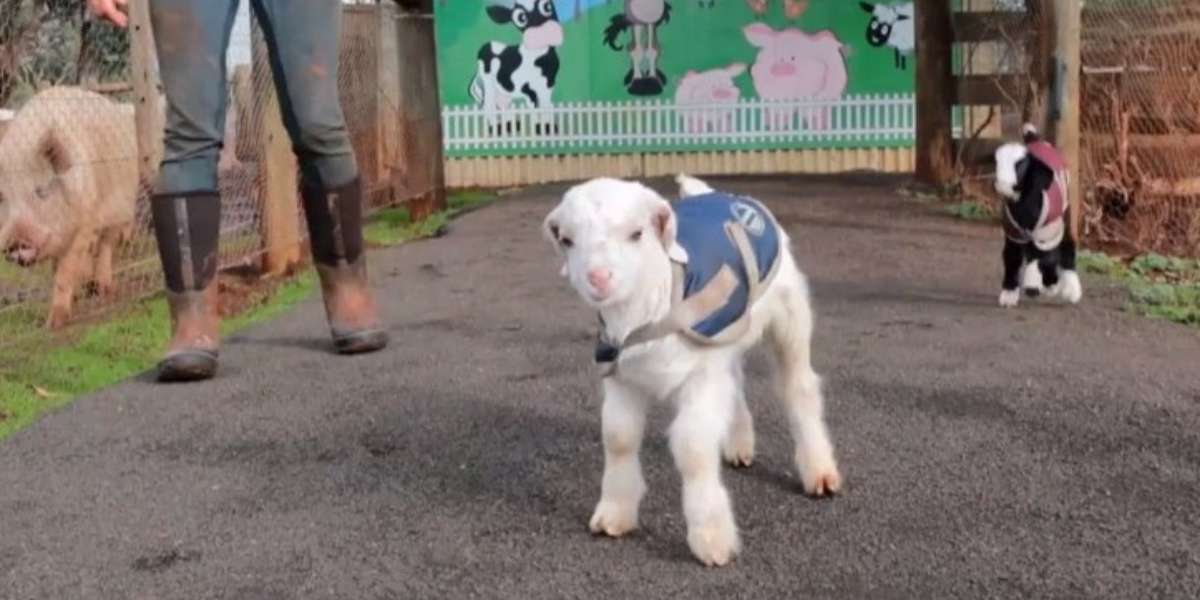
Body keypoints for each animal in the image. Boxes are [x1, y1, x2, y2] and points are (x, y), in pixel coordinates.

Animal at [541, 174, 842, 567]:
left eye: (637, 233)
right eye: (567, 240)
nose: (599, 278)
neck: (653, 305)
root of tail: (716, 194)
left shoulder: (701, 376)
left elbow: (693, 447)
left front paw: (711, 538)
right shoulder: (622, 375)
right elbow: (619, 437)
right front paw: (615, 512)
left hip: (788, 314)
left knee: (798, 387)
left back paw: (819, 471)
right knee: (735, 381)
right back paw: (739, 445)